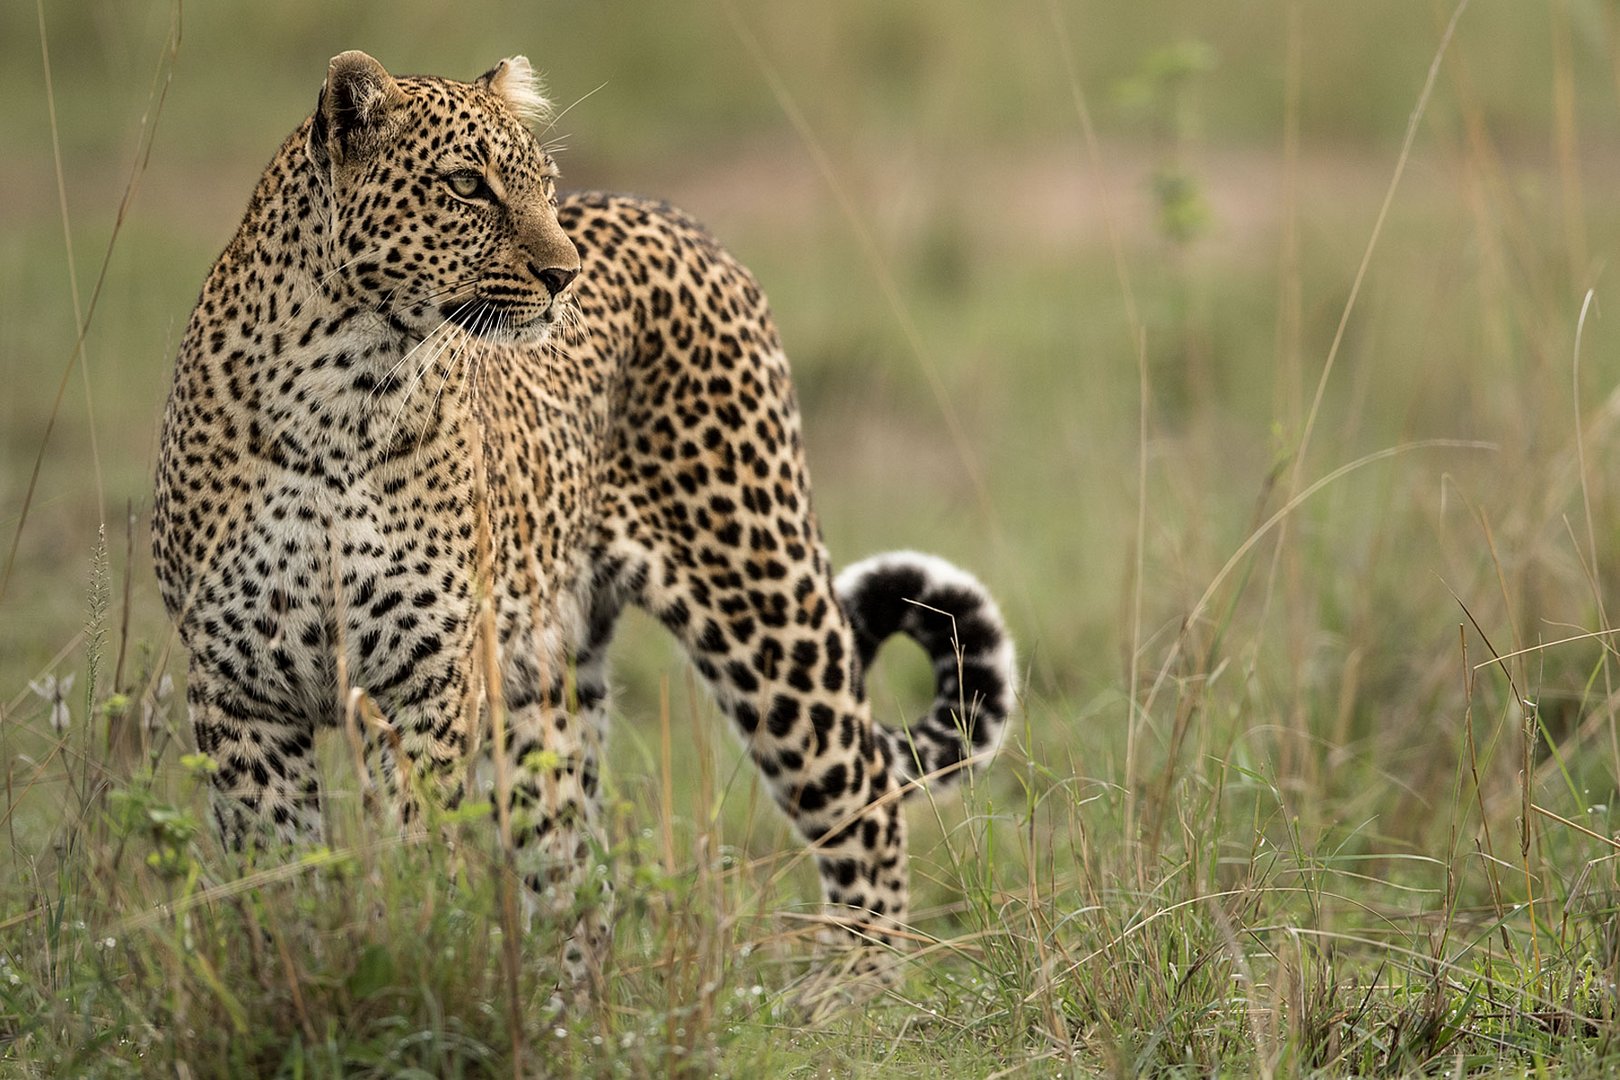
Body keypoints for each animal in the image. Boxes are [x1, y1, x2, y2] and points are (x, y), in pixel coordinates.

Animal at [151, 50, 1017, 984]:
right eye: (467, 185)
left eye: (543, 185)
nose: (564, 278)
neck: (342, 397)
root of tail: (672, 213)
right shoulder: (238, 692)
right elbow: (278, 880)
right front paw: (301, 974)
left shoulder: (425, 683)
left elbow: (413, 853)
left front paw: (401, 949)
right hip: (548, 695)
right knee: (574, 882)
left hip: (760, 591)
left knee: (865, 799)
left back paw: (845, 998)